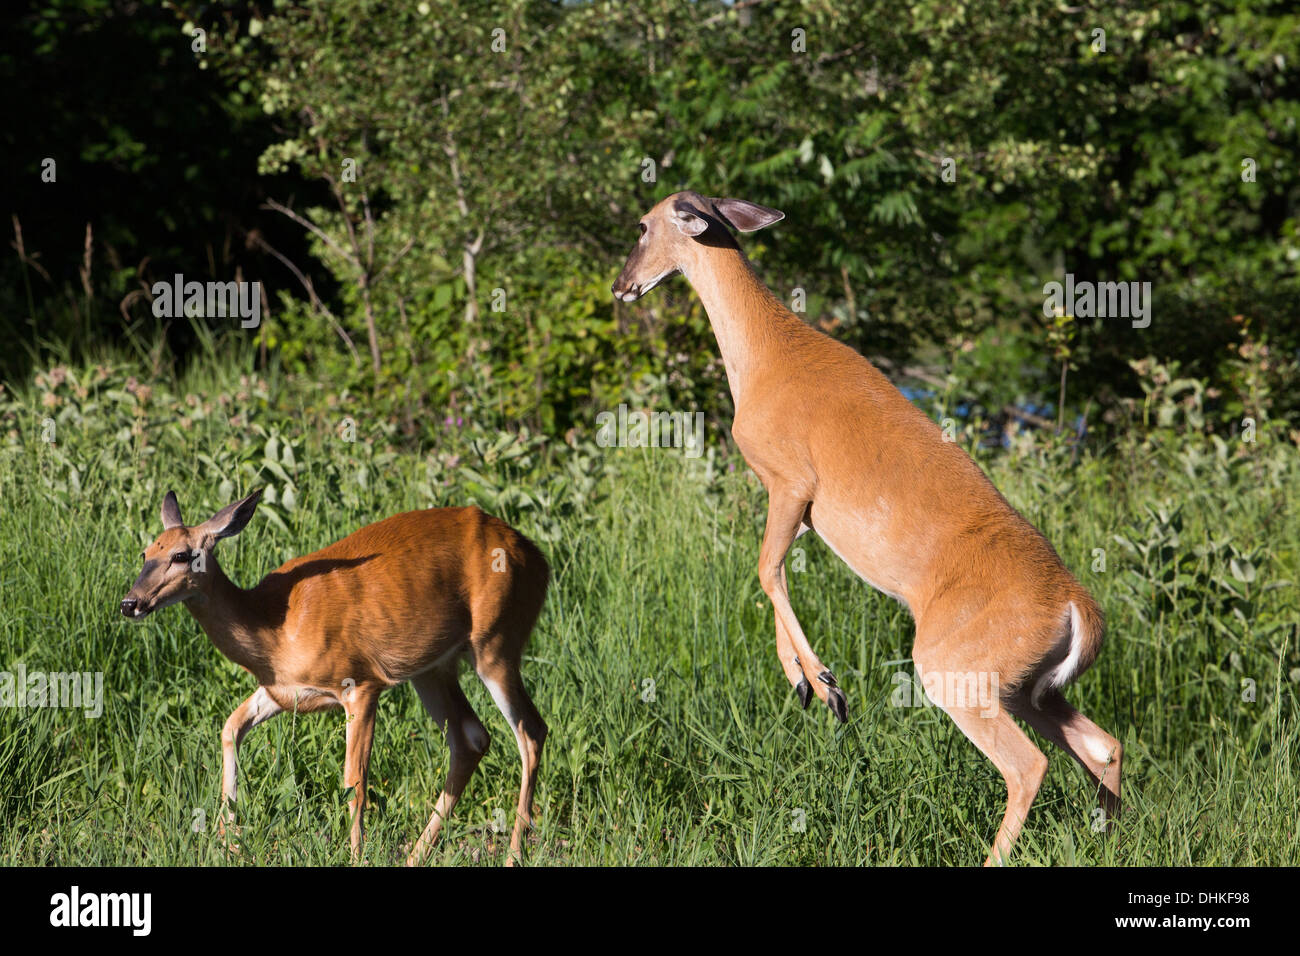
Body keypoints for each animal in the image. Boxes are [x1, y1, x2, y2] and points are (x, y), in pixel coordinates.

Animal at [119, 488, 550, 866]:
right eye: (146, 552)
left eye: (181, 555)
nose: (130, 603)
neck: (273, 628)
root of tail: (537, 557)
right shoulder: (281, 692)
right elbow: (230, 727)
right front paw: (230, 843)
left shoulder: (360, 683)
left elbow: (353, 781)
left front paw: (355, 856)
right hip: (433, 668)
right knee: (471, 737)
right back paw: (415, 856)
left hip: (496, 641)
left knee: (531, 730)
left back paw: (513, 855)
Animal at [611, 191, 1122, 865]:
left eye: (644, 226)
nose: (620, 286)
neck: (764, 355)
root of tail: (1074, 604)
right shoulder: (803, 509)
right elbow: (772, 571)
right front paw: (803, 679)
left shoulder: (791, 478)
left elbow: (764, 568)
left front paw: (824, 684)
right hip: (1026, 683)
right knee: (1103, 745)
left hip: (956, 665)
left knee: (1028, 765)